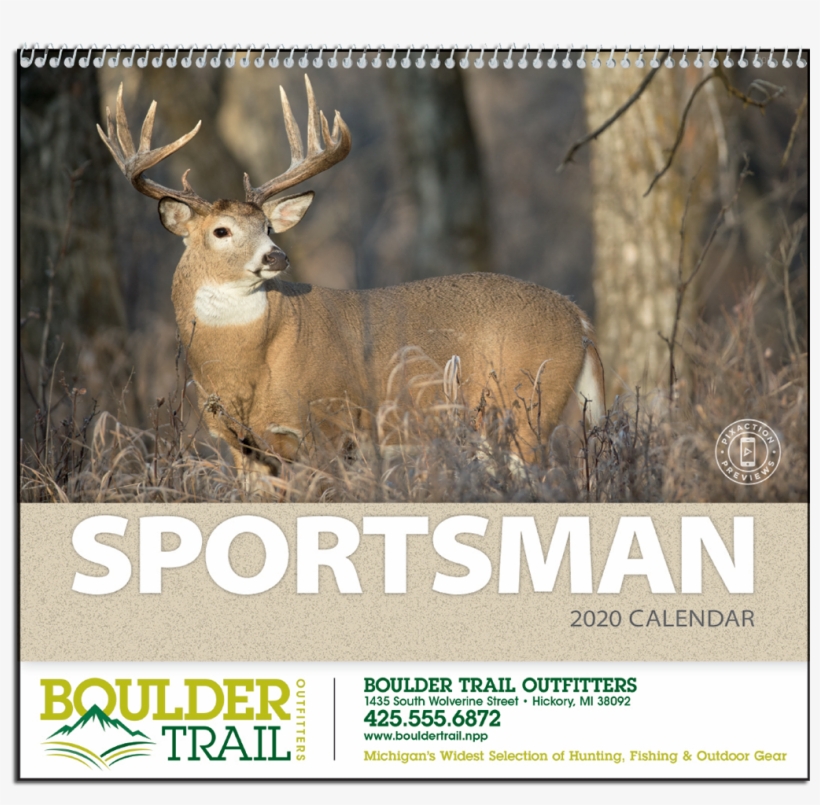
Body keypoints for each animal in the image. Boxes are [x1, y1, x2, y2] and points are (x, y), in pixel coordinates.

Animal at [98, 77, 604, 482]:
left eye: (268, 227)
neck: (243, 366)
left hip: (526, 405)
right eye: (221, 231)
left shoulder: (329, 424)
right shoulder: (241, 445)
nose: (276, 255)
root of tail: (579, 318)